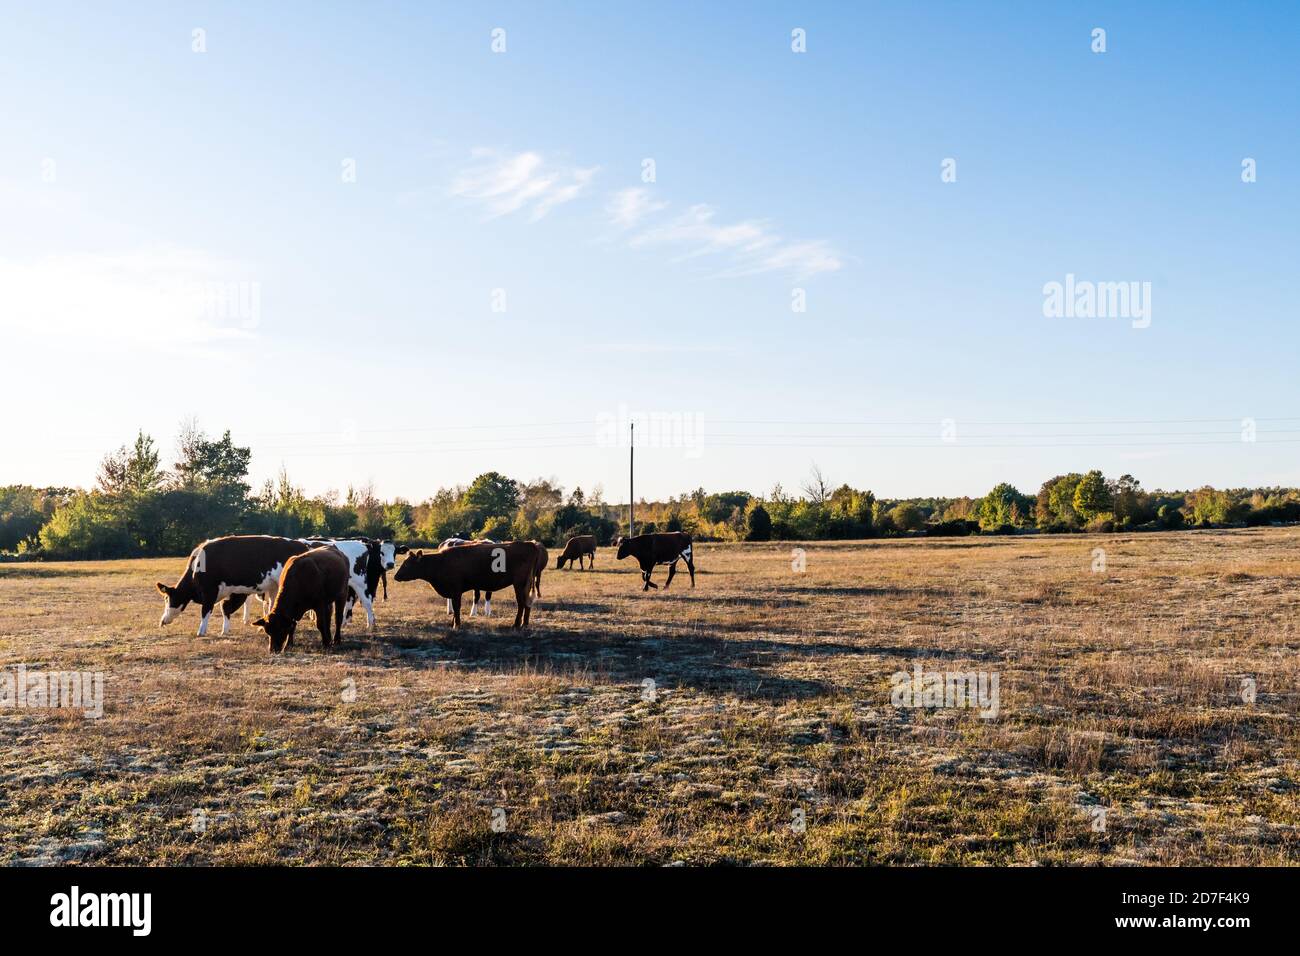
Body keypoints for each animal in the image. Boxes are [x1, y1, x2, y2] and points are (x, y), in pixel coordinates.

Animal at [157, 535, 312, 636]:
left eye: (166, 598)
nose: (162, 621)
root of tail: (302, 545)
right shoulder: (234, 592)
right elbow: (225, 608)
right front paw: (224, 630)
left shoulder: (210, 591)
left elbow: (206, 610)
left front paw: (201, 631)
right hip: (274, 588)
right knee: (272, 605)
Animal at [394, 540, 539, 629]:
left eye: (407, 564)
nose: (396, 576)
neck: (440, 562)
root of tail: (529, 544)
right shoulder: (453, 592)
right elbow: (454, 608)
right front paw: (453, 623)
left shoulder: (456, 590)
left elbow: (457, 607)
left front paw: (456, 625)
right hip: (526, 584)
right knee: (527, 603)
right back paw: (524, 624)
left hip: (519, 583)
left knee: (521, 603)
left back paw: (516, 625)